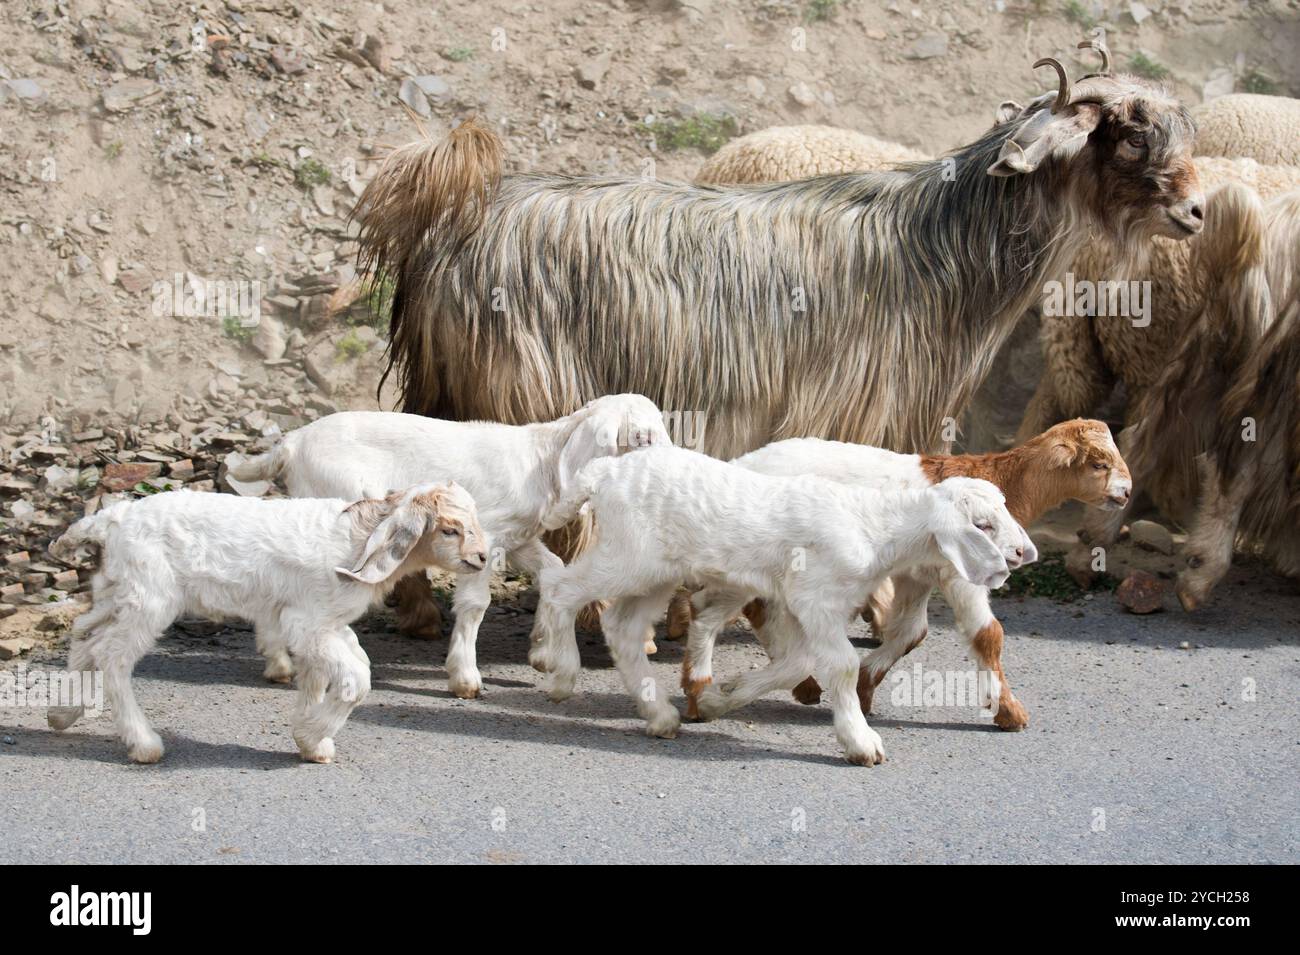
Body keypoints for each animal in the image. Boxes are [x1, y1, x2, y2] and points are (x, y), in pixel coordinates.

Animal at [46, 483, 486, 764]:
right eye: (449, 529)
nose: (482, 558)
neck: (357, 541)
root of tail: (113, 518)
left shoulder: (328, 625)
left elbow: (332, 672)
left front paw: (311, 741)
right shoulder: (307, 623)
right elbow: (356, 679)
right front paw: (311, 734)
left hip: (116, 591)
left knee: (85, 634)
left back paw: (62, 713)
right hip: (149, 599)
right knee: (112, 656)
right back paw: (143, 744)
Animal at [228, 394, 670, 698]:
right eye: (642, 436)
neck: (544, 462)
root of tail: (292, 443)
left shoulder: (517, 537)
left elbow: (553, 570)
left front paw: (542, 653)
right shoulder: (484, 536)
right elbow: (475, 604)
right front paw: (465, 678)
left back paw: (279, 663)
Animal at [356, 50, 1202, 468]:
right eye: (1131, 134)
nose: (1195, 212)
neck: (940, 245)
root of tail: (453, 215)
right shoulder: (860, 409)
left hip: (447, 384)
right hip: (519, 386)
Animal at [527, 446, 1026, 765]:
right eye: (983, 525)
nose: (1022, 553)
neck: (875, 526)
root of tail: (604, 472)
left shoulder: (805, 603)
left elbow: (797, 662)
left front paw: (720, 697)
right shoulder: (816, 598)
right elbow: (841, 665)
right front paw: (861, 742)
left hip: (655, 573)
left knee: (622, 626)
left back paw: (660, 715)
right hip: (628, 557)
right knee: (560, 585)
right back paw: (561, 673)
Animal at [671, 419, 1129, 729]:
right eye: (1098, 464)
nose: (1126, 493)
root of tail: (738, 462)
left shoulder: (918, 573)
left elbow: (912, 631)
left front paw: (864, 687)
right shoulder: (958, 574)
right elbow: (988, 634)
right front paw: (1009, 712)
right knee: (757, 608)